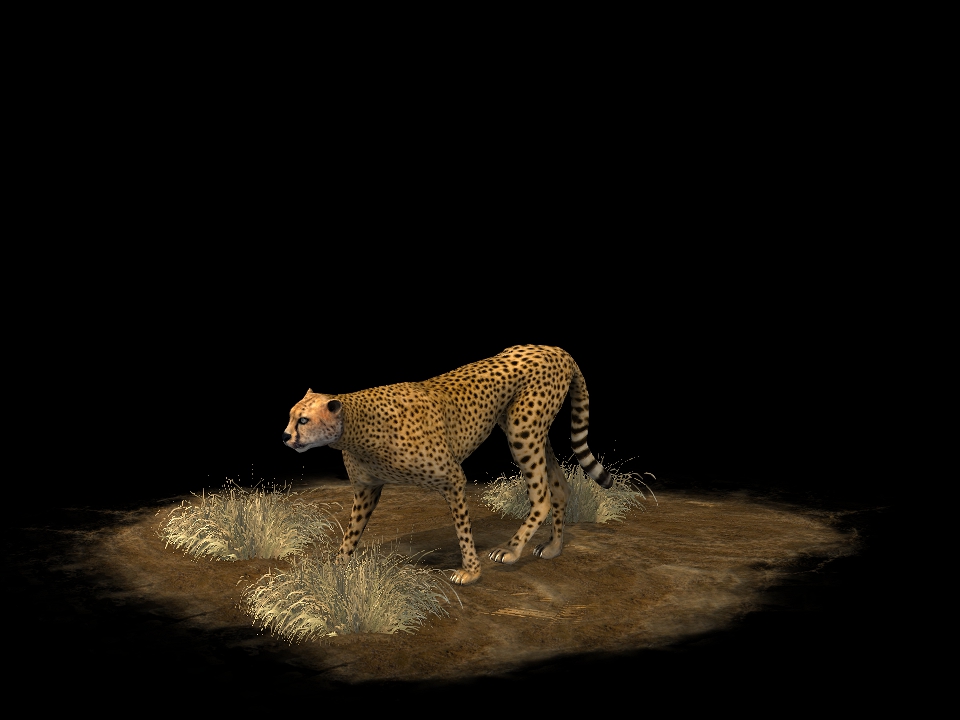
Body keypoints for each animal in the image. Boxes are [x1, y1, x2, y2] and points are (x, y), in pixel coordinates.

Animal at [281, 344, 615, 586]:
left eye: (303, 420)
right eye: (291, 415)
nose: (285, 436)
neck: (356, 426)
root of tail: (556, 349)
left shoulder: (453, 477)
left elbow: (463, 530)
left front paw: (471, 571)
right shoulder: (367, 489)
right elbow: (352, 531)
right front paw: (337, 567)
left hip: (523, 431)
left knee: (542, 496)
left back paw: (511, 549)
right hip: (532, 431)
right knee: (560, 488)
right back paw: (554, 548)